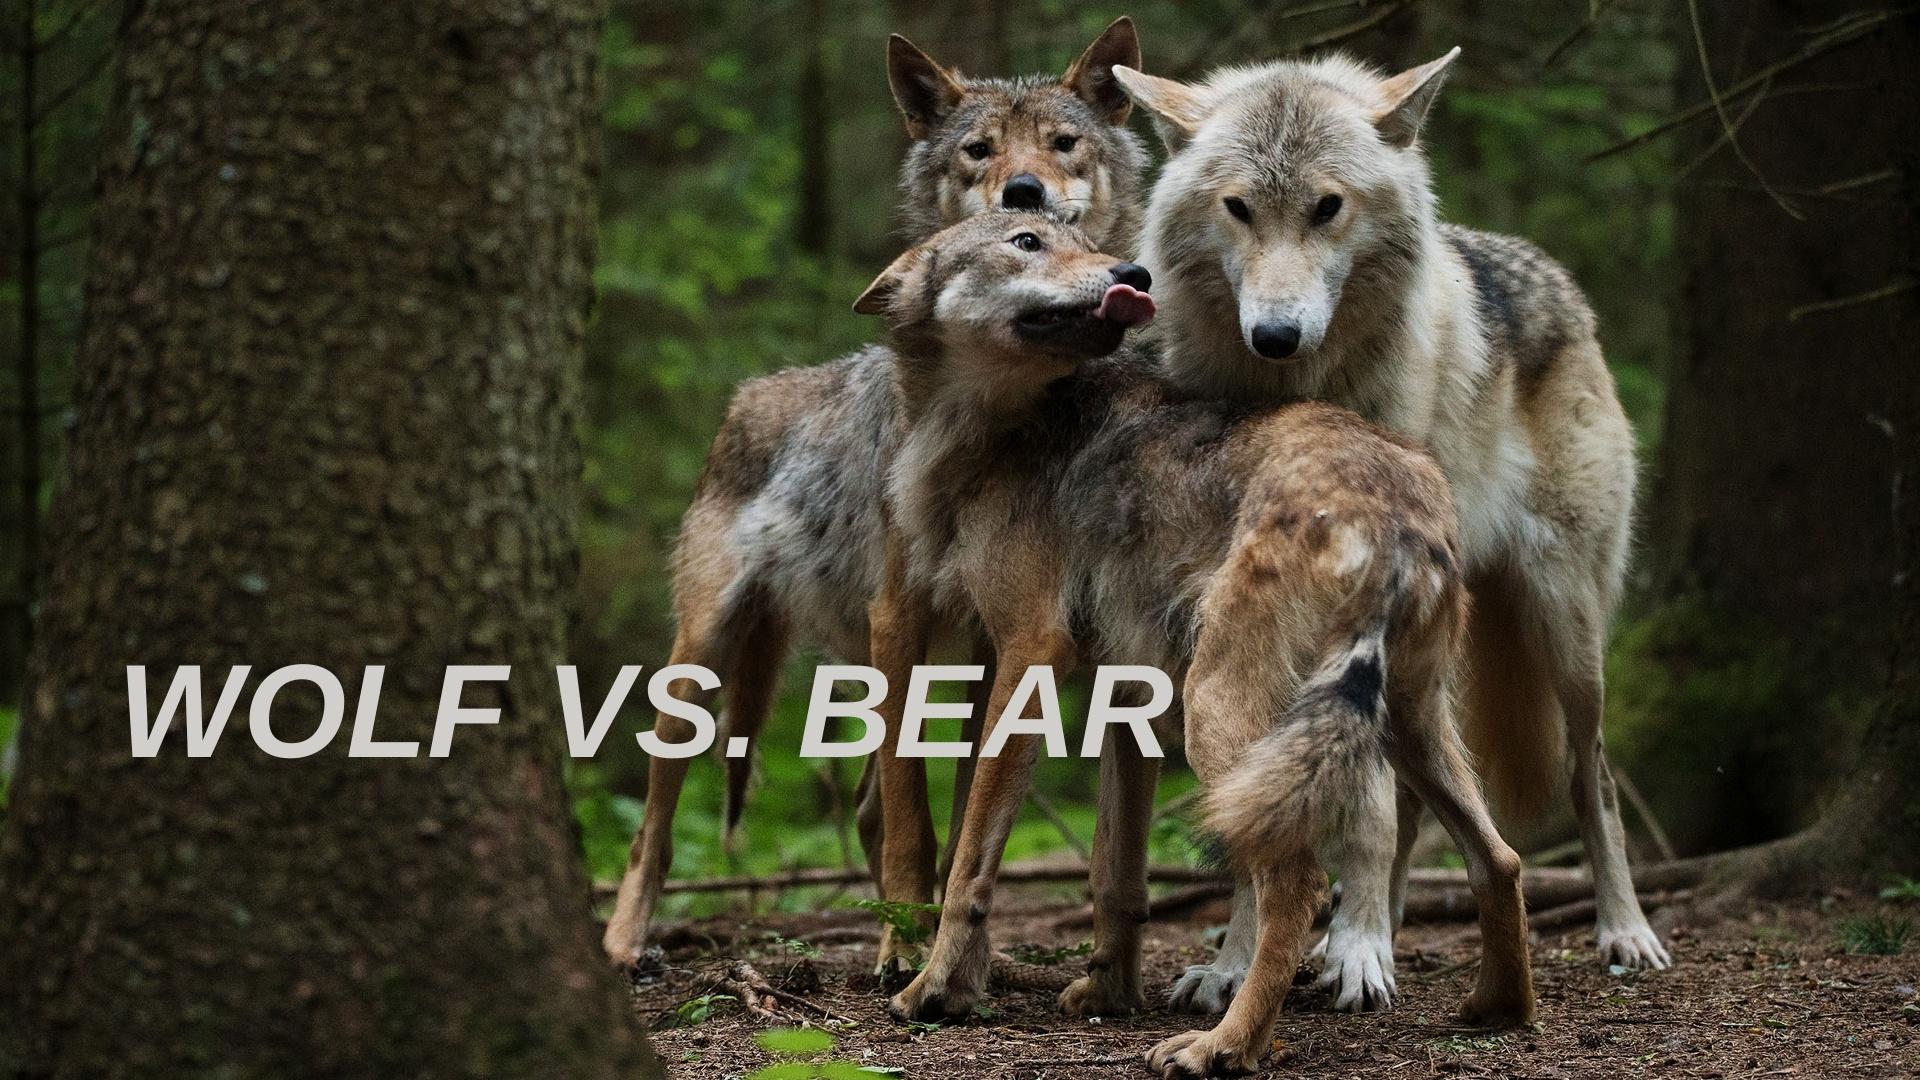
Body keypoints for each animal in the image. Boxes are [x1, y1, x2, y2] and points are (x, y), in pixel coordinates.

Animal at [600, 18, 1148, 968]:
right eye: (979, 152)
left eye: (1063, 142)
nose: (1027, 190)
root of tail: (748, 397)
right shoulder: (901, 615)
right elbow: (909, 814)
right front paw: (904, 944)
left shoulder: (994, 636)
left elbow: (963, 809)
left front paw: (952, 945)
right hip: (702, 656)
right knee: (657, 824)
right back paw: (629, 939)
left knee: (858, 804)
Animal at [855, 212, 1534, 1077]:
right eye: (1027, 241)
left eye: (1075, 237)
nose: (1133, 274)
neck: (993, 427)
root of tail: (1393, 509)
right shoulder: (1122, 688)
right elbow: (1114, 870)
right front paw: (1107, 994)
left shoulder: (1030, 653)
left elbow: (973, 860)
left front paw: (937, 991)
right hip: (1401, 726)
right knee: (1499, 859)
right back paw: (1500, 1010)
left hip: (1222, 718)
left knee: (1298, 879)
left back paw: (1225, 1045)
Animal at [1111, 51, 1665, 1014]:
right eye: (1239, 208)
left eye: (1327, 207)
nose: (1277, 334)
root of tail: (1550, 272)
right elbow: (1261, 814)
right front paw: (1236, 965)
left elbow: (1359, 807)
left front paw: (1355, 949)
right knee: (1409, 796)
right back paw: (1380, 928)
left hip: (1566, 636)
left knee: (1588, 775)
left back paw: (1619, 929)